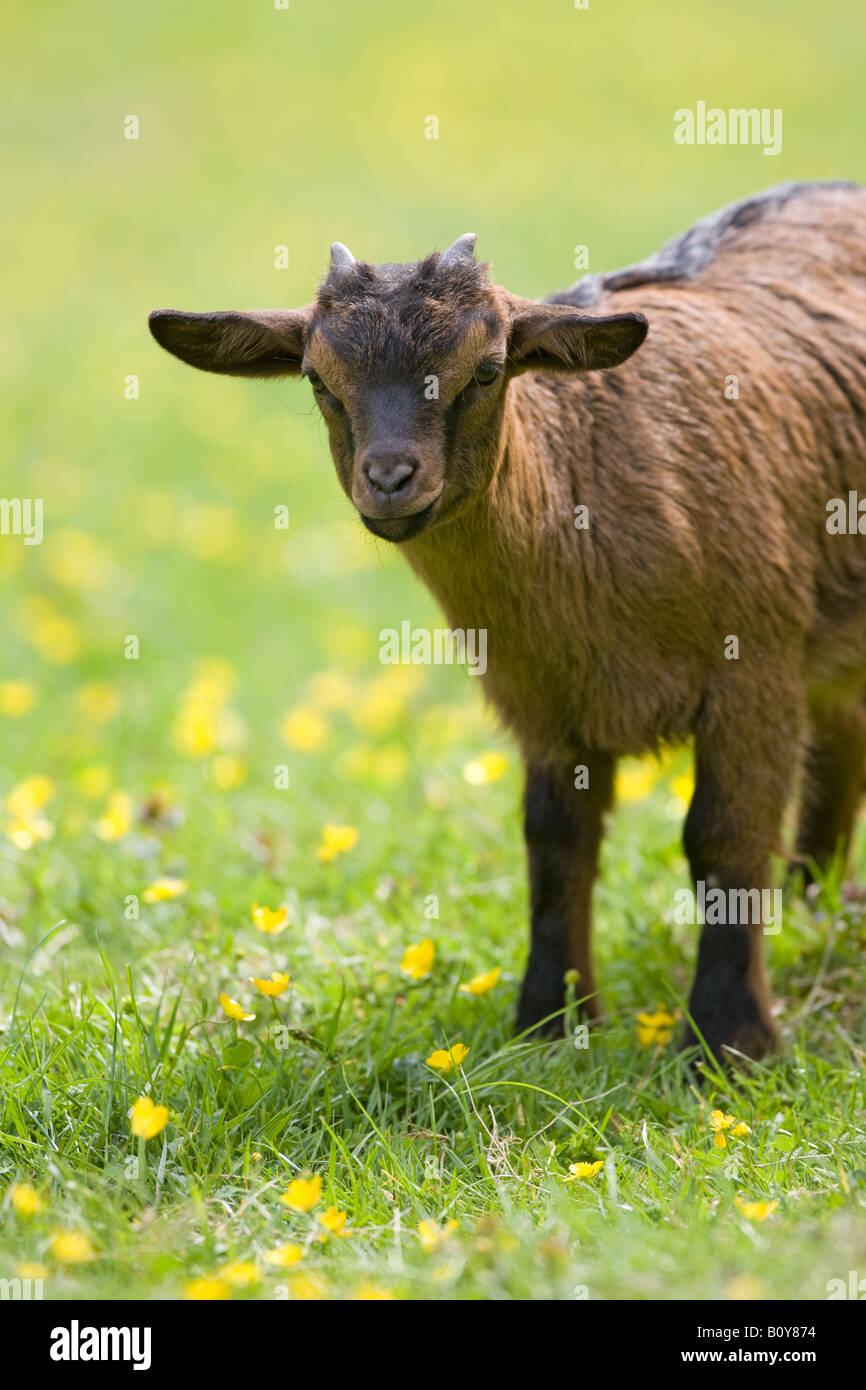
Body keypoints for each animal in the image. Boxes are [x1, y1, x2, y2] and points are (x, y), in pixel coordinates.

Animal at [150, 180, 866, 1063]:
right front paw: (551, 1025)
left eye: (487, 370)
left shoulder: (754, 667)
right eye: (318, 377)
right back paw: (810, 907)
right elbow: (554, 845)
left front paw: (727, 1044)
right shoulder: (542, 702)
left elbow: (722, 839)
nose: (390, 478)